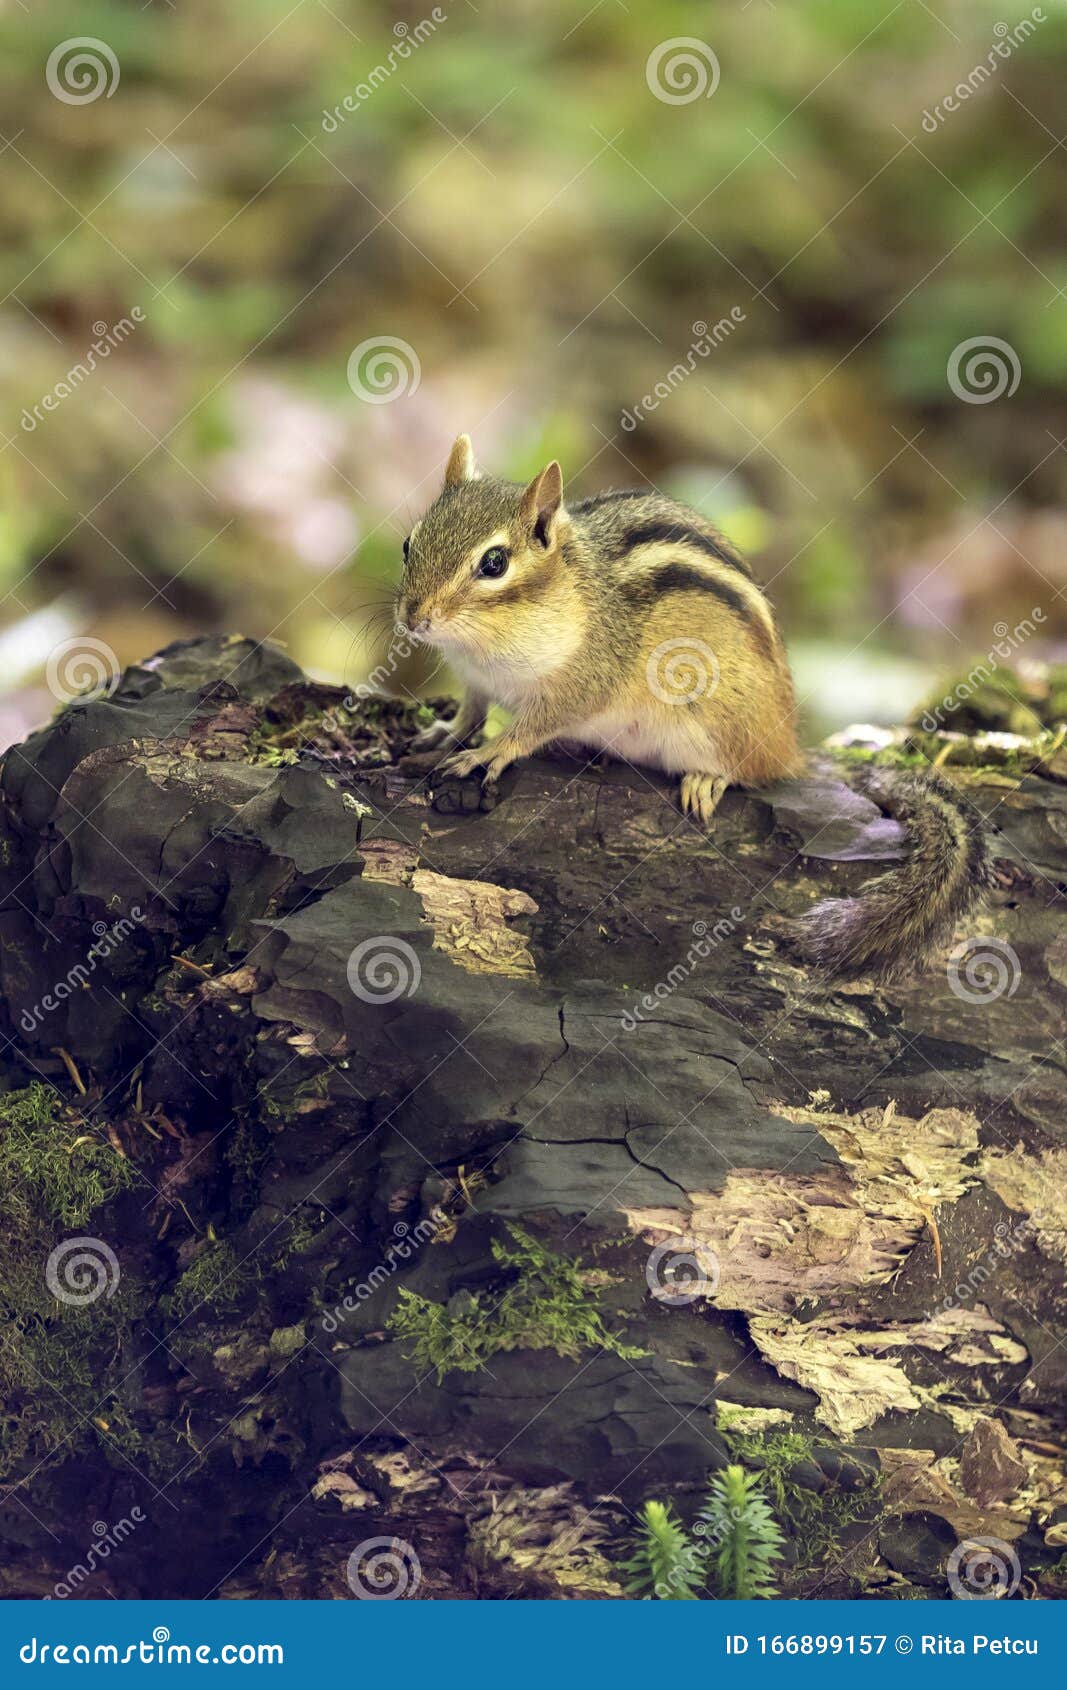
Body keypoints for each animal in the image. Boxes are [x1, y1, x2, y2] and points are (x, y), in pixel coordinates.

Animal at [396, 434, 991, 979]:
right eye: (408, 543)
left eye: (494, 563)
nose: (413, 618)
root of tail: (789, 745)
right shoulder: (475, 678)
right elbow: (472, 710)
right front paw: (443, 731)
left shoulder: (586, 678)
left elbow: (532, 726)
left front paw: (488, 753)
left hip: (716, 726)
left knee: (747, 769)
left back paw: (708, 778)